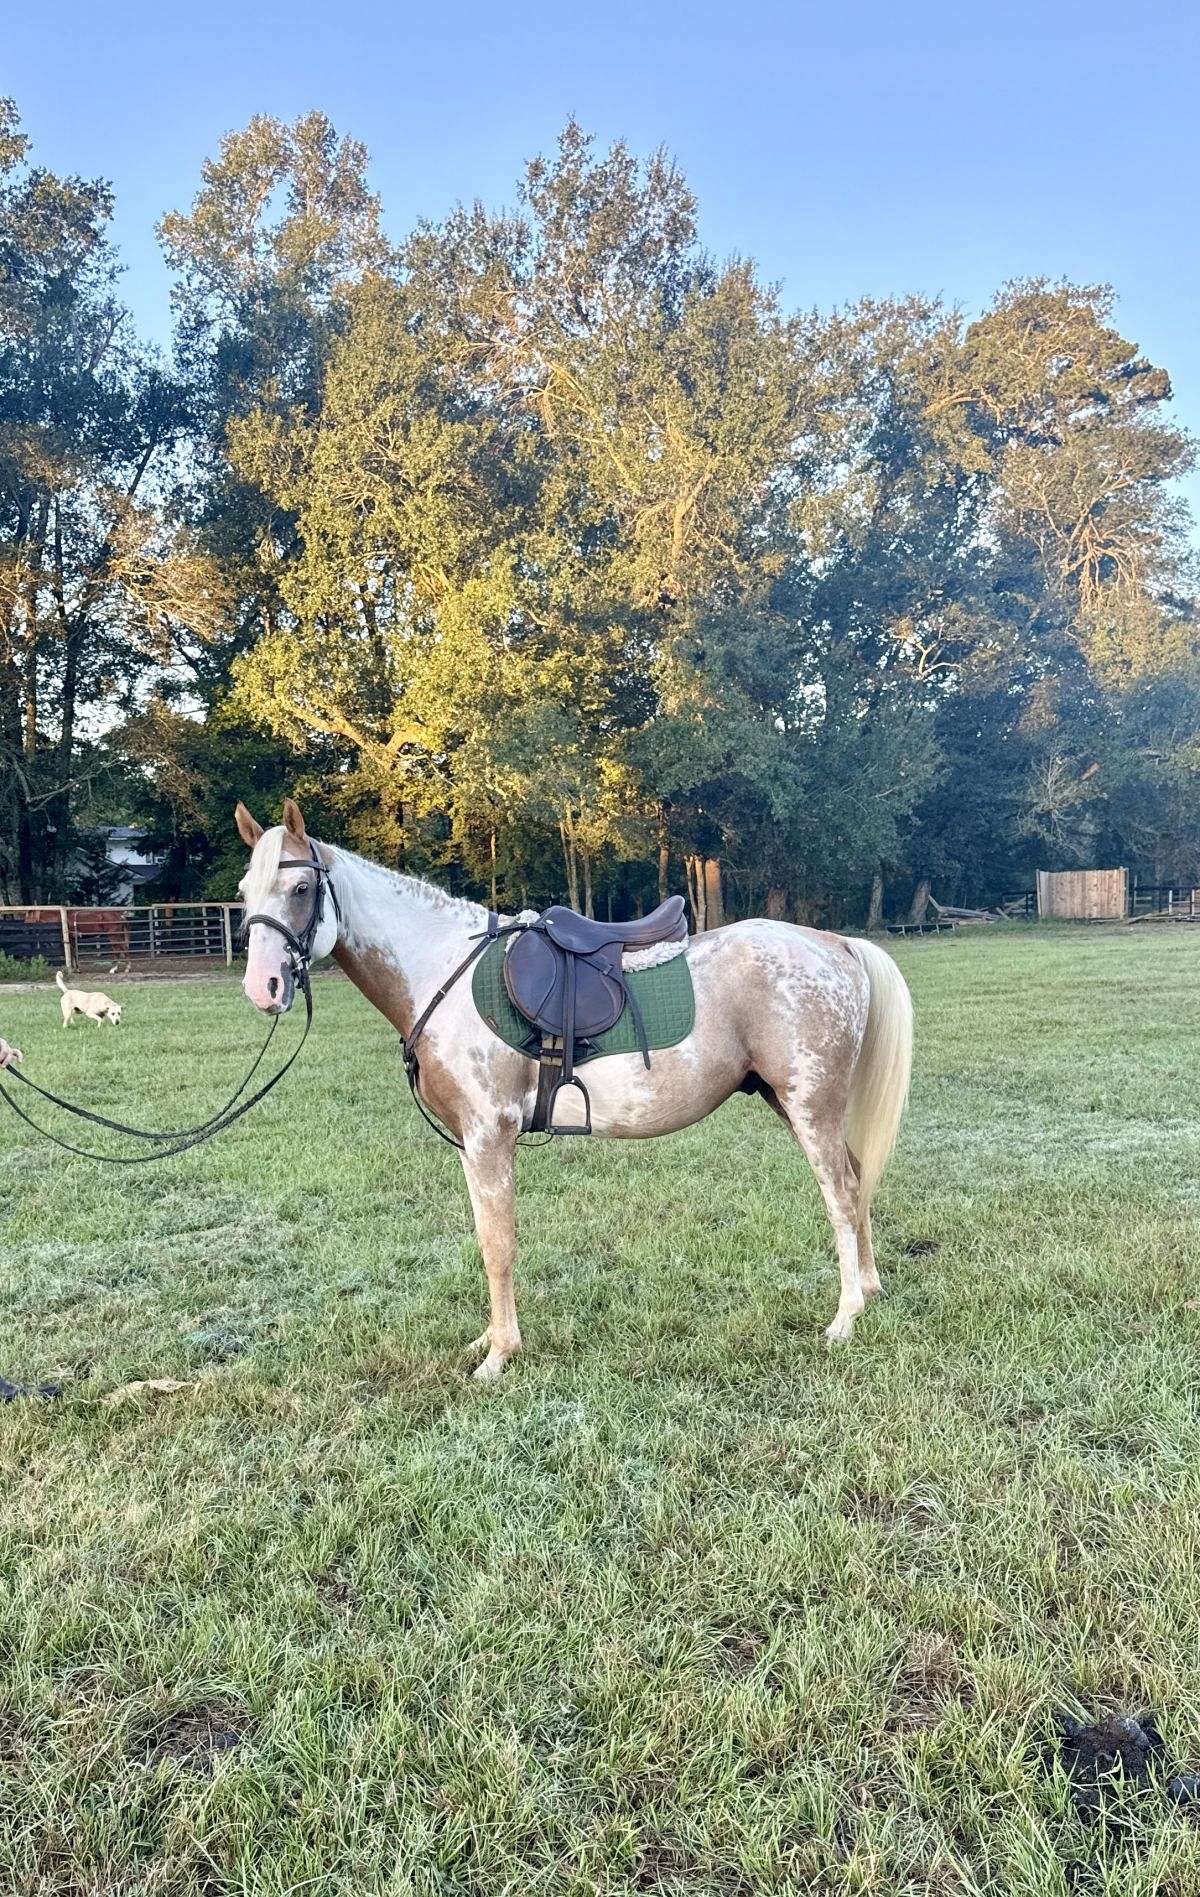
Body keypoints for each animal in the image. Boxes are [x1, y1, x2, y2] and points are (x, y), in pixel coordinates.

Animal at [236, 798, 914, 1381]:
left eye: (300, 889)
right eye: (244, 892)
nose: (263, 987)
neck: (442, 974)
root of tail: (834, 944)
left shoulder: (490, 1138)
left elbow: (498, 1244)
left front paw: (500, 1356)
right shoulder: (471, 1146)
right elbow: (487, 1238)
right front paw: (489, 1340)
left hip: (809, 1106)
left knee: (840, 1193)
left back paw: (845, 1317)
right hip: (795, 1104)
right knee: (857, 1182)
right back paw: (870, 1288)